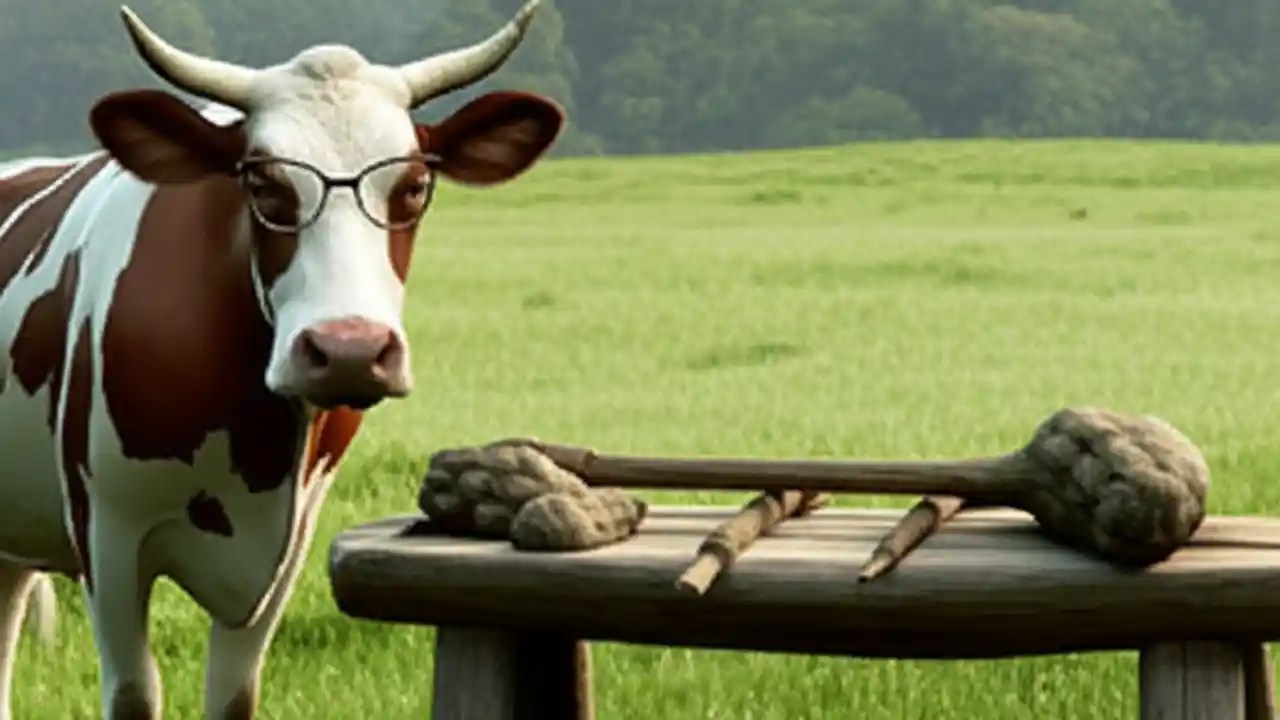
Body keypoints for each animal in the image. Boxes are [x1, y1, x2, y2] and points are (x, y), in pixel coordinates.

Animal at [0, 1, 563, 718]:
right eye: (264, 185)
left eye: (414, 186)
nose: (350, 350)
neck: (251, 440)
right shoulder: (109, 536)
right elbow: (134, 693)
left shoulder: (283, 555)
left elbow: (235, 695)